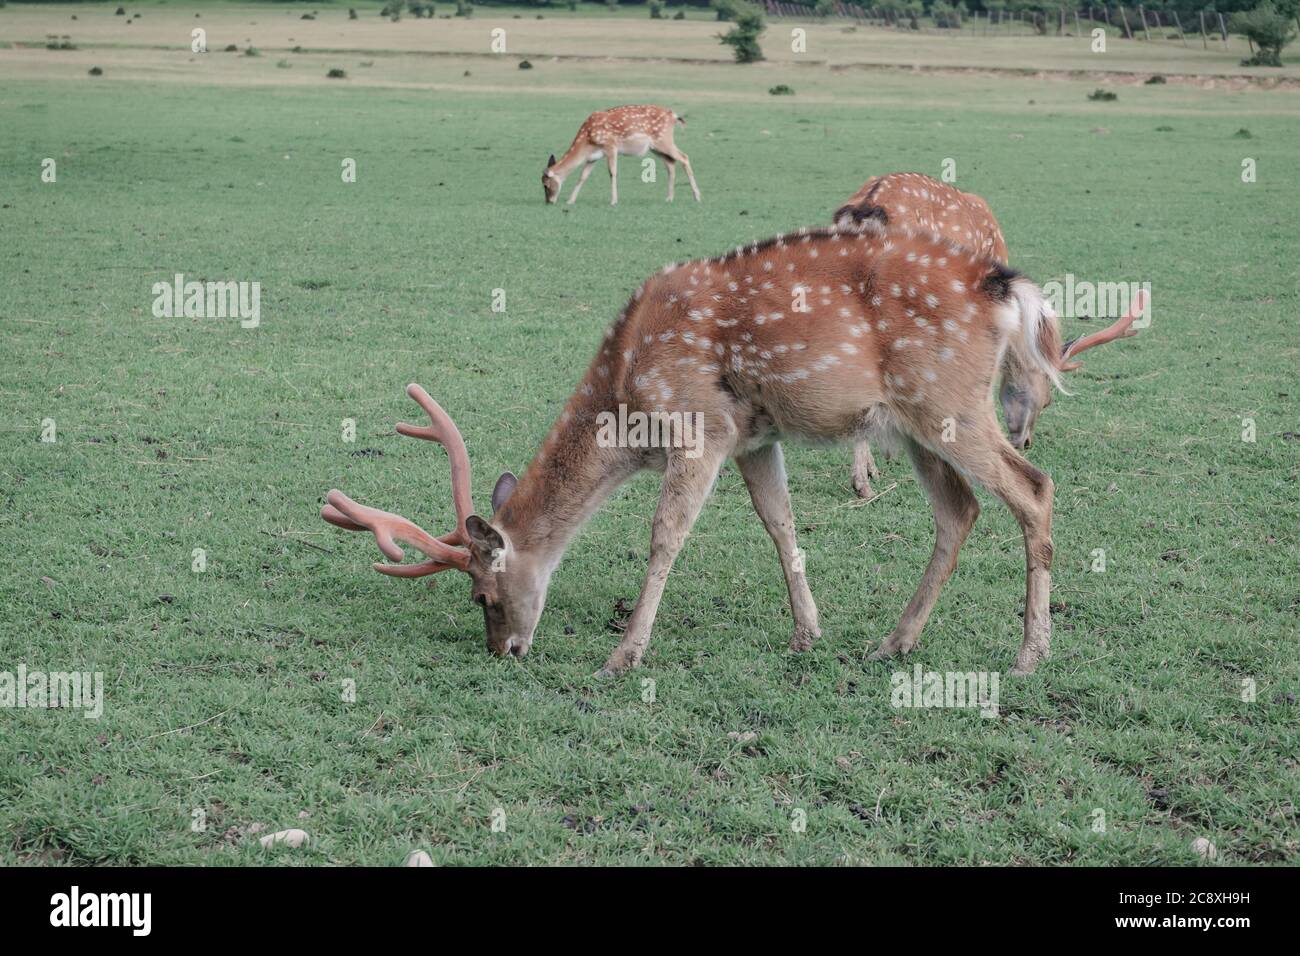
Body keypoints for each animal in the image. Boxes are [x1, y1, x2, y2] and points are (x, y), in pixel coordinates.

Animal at [321, 217, 1146, 679]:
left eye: (483, 595)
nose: (505, 651)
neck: (627, 393)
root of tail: (1008, 290)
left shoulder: (699, 428)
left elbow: (665, 535)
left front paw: (623, 656)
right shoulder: (754, 436)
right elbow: (779, 523)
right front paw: (808, 634)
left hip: (948, 401)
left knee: (1033, 488)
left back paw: (1029, 656)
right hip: (918, 422)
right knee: (960, 511)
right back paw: (892, 642)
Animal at [542, 105, 700, 206]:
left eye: (546, 185)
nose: (549, 202)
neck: (587, 141)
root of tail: (673, 116)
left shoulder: (611, 146)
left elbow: (612, 172)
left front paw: (613, 201)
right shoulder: (593, 157)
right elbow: (583, 176)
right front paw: (570, 201)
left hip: (663, 140)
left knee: (684, 157)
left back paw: (697, 197)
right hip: (655, 147)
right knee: (671, 163)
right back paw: (669, 198)